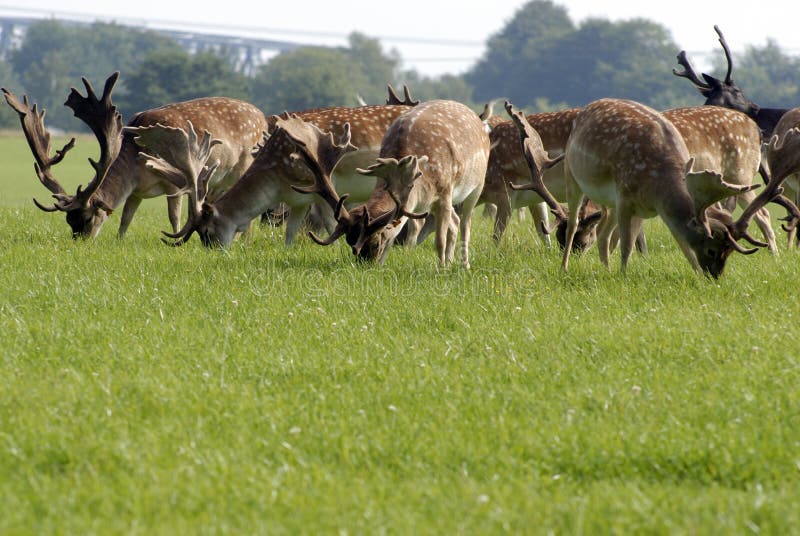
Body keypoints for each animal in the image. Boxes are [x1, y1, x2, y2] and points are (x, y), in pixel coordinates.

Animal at [2, 72, 267, 239]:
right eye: (69, 221)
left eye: (88, 218)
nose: (80, 242)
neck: (135, 163)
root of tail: (264, 118)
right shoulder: (136, 191)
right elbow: (125, 219)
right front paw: (119, 242)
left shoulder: (174, 183)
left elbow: (174, 217)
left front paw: (176, 241)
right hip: (219, 182)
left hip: (244, 166)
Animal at [126, 87, 420, 247]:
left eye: (208, 232)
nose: (212, 250)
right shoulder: (303, 199)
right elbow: (293, 232)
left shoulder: (326, 188)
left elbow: (328, 222)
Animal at [288, 99, 490, 268]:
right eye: (349, 241)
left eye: (375, 242)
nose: (366, 267)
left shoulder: (444, 192)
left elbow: (439, 240)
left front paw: (441, 269)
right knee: (455, 222)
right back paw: (451, 261)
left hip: (477, 185)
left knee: (465, 224)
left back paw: (464, 265)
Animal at [559, 98, 777, 278]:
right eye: (711, 249)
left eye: (730, 251)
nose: (715, 276)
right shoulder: (625, 197)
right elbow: (627, 244)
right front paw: (623, 275)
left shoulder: (650, 208)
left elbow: (681, 243)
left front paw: (696, 276)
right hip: (571, 175)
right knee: (574, 223)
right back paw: (565, 267)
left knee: (603, 233)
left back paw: (606, 269)